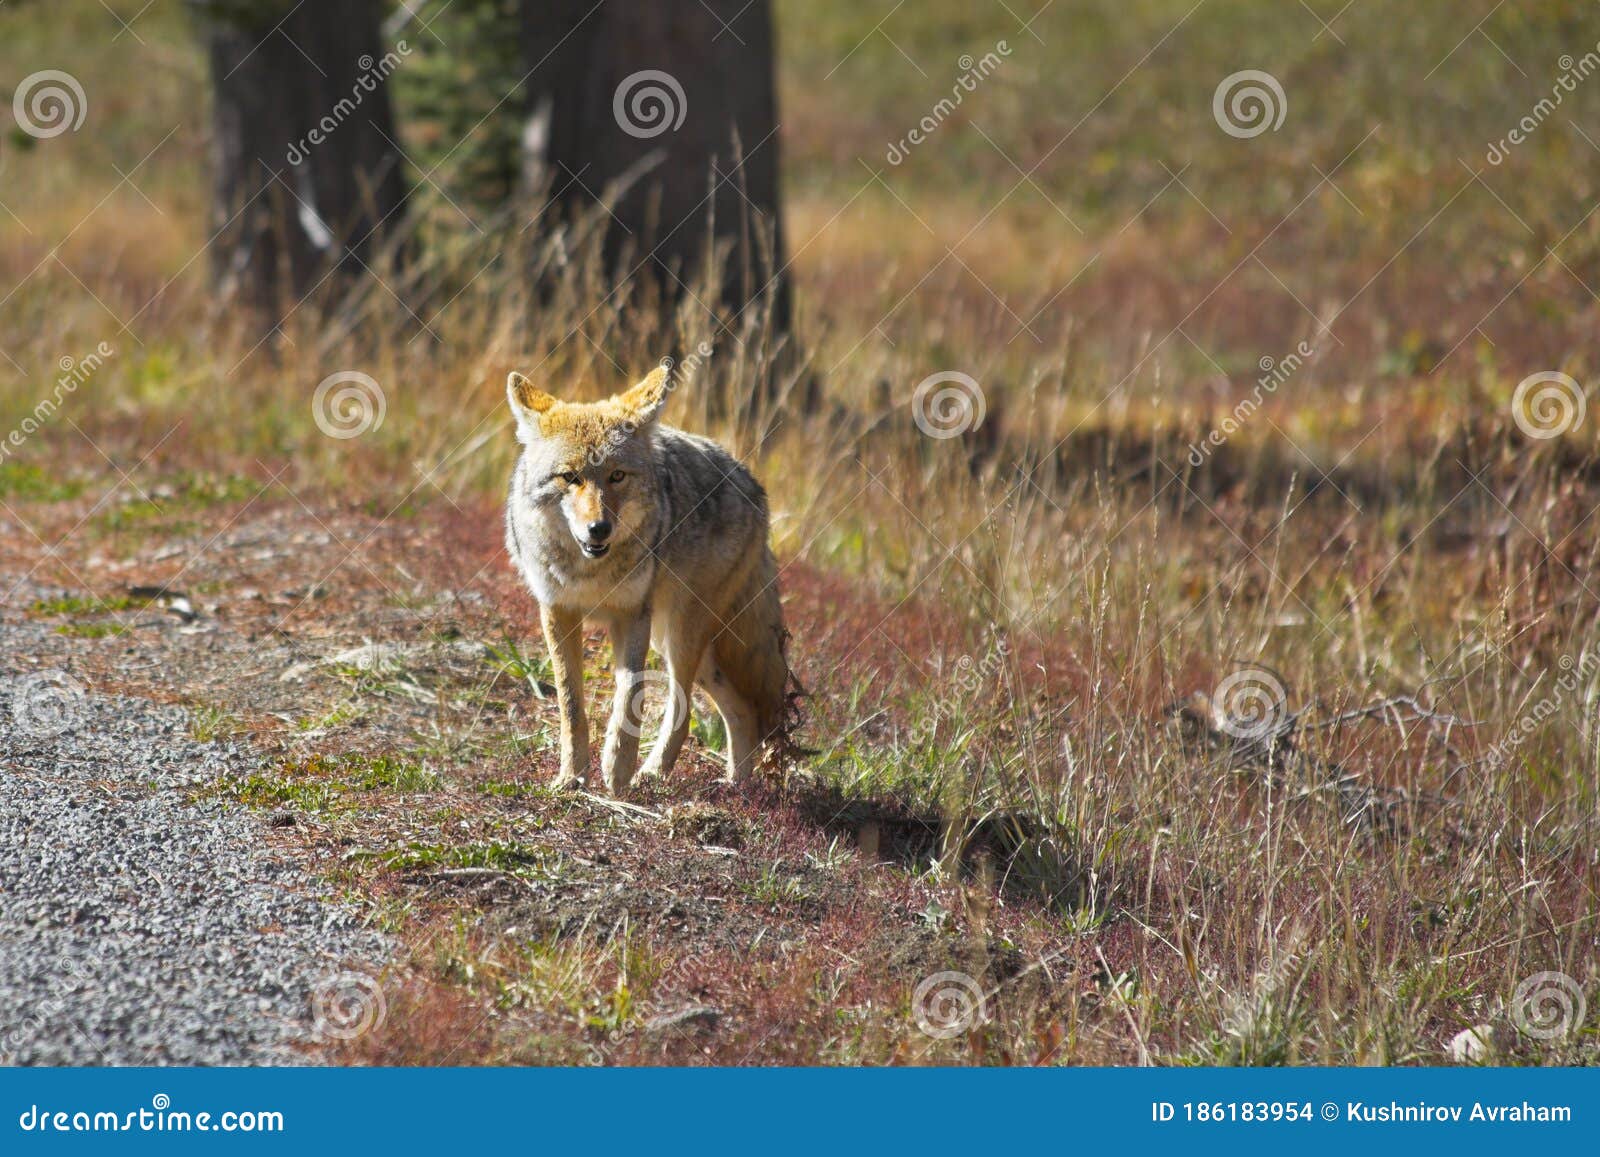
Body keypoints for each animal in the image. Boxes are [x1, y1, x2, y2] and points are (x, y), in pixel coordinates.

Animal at [503, 365, 792, 795]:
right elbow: (572, 707)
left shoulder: (632, 615)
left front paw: (617, 771)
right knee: (742, 712)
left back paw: (654, 773)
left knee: (684, 711)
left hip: (680, 634)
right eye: (570, 477)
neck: (591, 571)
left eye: (617, 475)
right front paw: (571, 777)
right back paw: (736, 788)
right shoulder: (557, 613)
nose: (599, 529)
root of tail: (754, 487)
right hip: (681, 642)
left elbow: (628, 698)